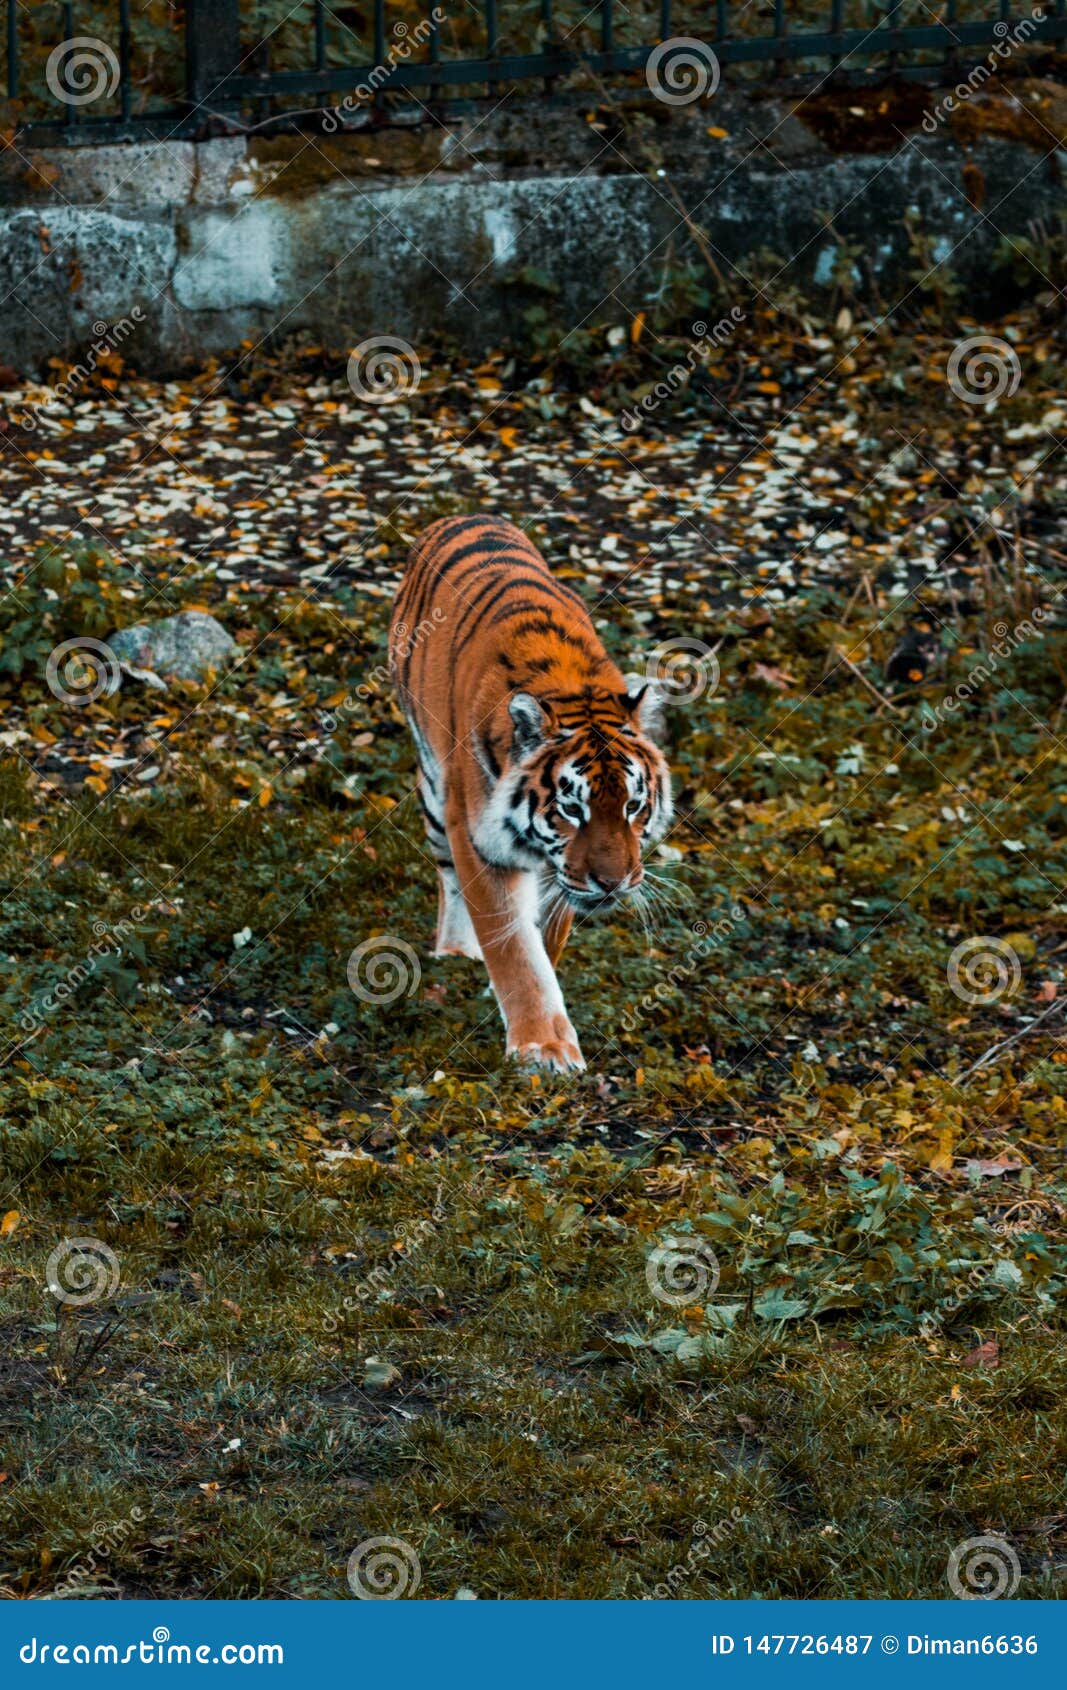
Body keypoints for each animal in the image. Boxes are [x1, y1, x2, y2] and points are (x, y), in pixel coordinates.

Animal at [388, 515, 673, 1073]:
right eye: (571, 809)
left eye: (632, 806)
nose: (613, 884)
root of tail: (461, 516)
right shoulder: (481, 842)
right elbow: (514, 950)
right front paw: (544, 1047)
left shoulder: (562, 874)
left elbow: (546, 936)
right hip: (434, 792)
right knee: (448, 877)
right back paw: (456, 952)